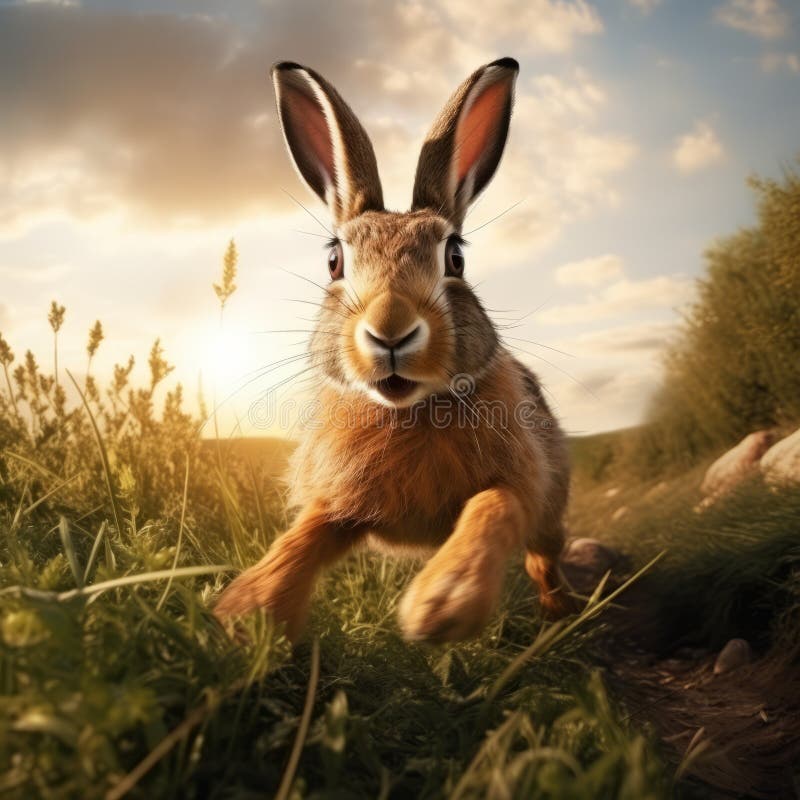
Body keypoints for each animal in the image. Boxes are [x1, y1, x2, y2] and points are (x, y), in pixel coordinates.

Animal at [214, 57, 573, 643]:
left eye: (456, 258)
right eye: (334, 261)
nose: (390, 330)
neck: (409, 411)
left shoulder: (520, 481)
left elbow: (492, 506)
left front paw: (444, 603)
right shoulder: (337, 503)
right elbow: (302, 536)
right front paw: (247, 613)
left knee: (545, 559)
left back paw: (559, 616)